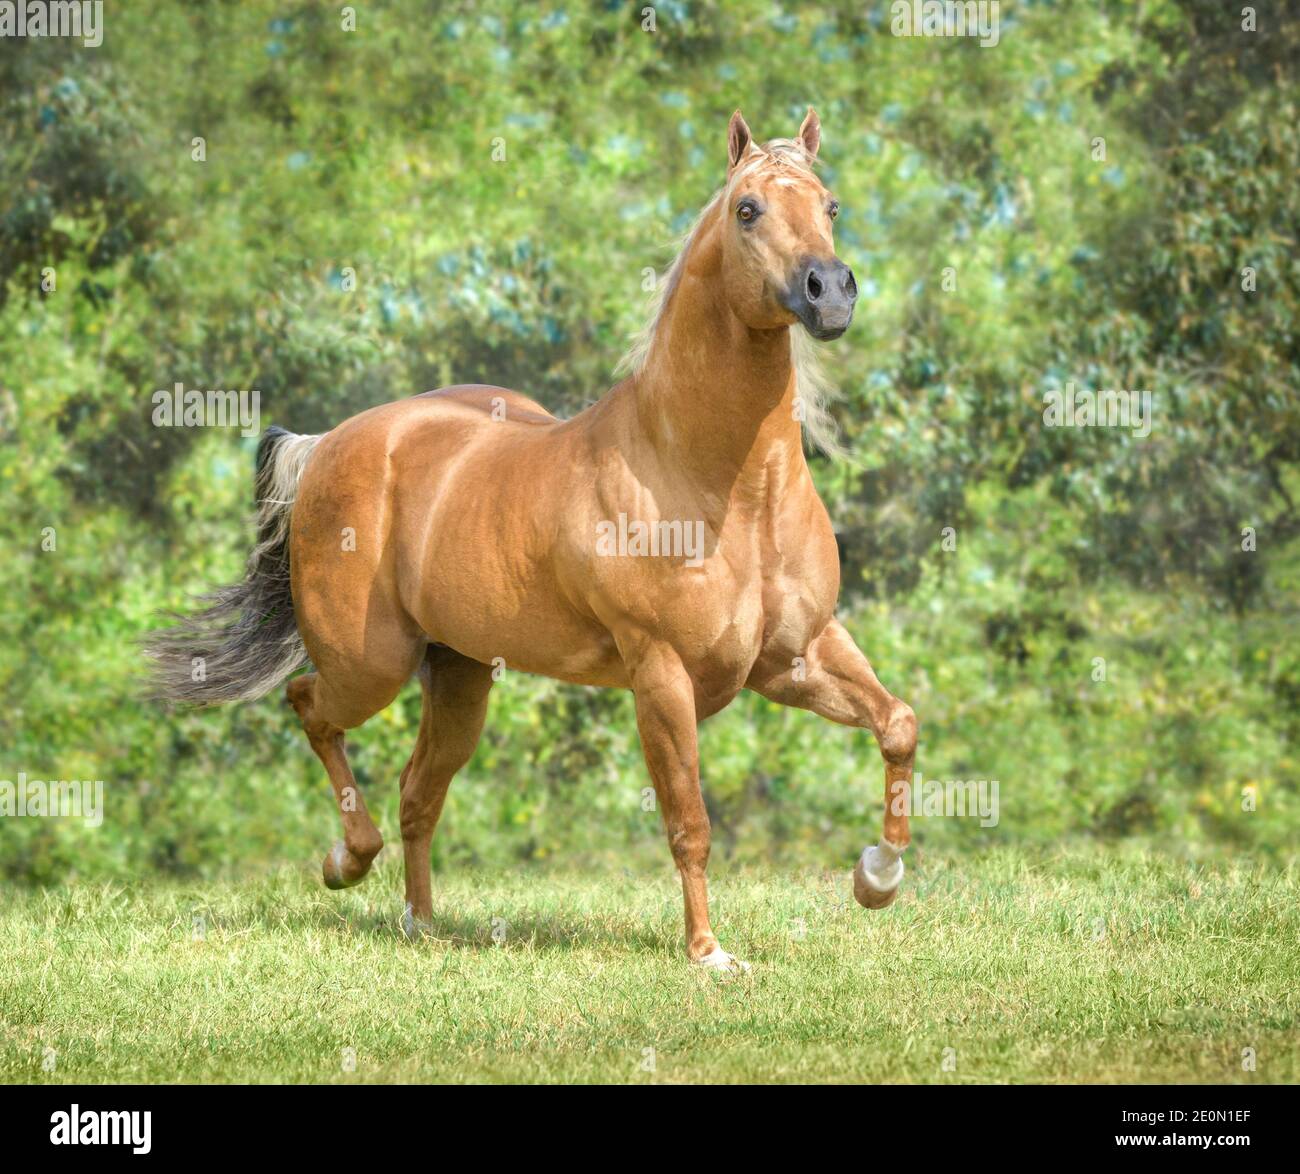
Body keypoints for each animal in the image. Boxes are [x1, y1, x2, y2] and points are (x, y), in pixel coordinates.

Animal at [148, 109, 917, 972]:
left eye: (831, 205)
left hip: (460, 678)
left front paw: (877, 878)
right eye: (747, 209)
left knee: (419, 791)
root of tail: (330, 445)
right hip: (369, 665)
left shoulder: (795, 655)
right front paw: (709, 955)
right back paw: (346, 861)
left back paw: (421, 922)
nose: (831, 293)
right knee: (312, 707)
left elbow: (898, 724)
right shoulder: (661, 674)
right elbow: (689, 820)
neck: (723, 488)